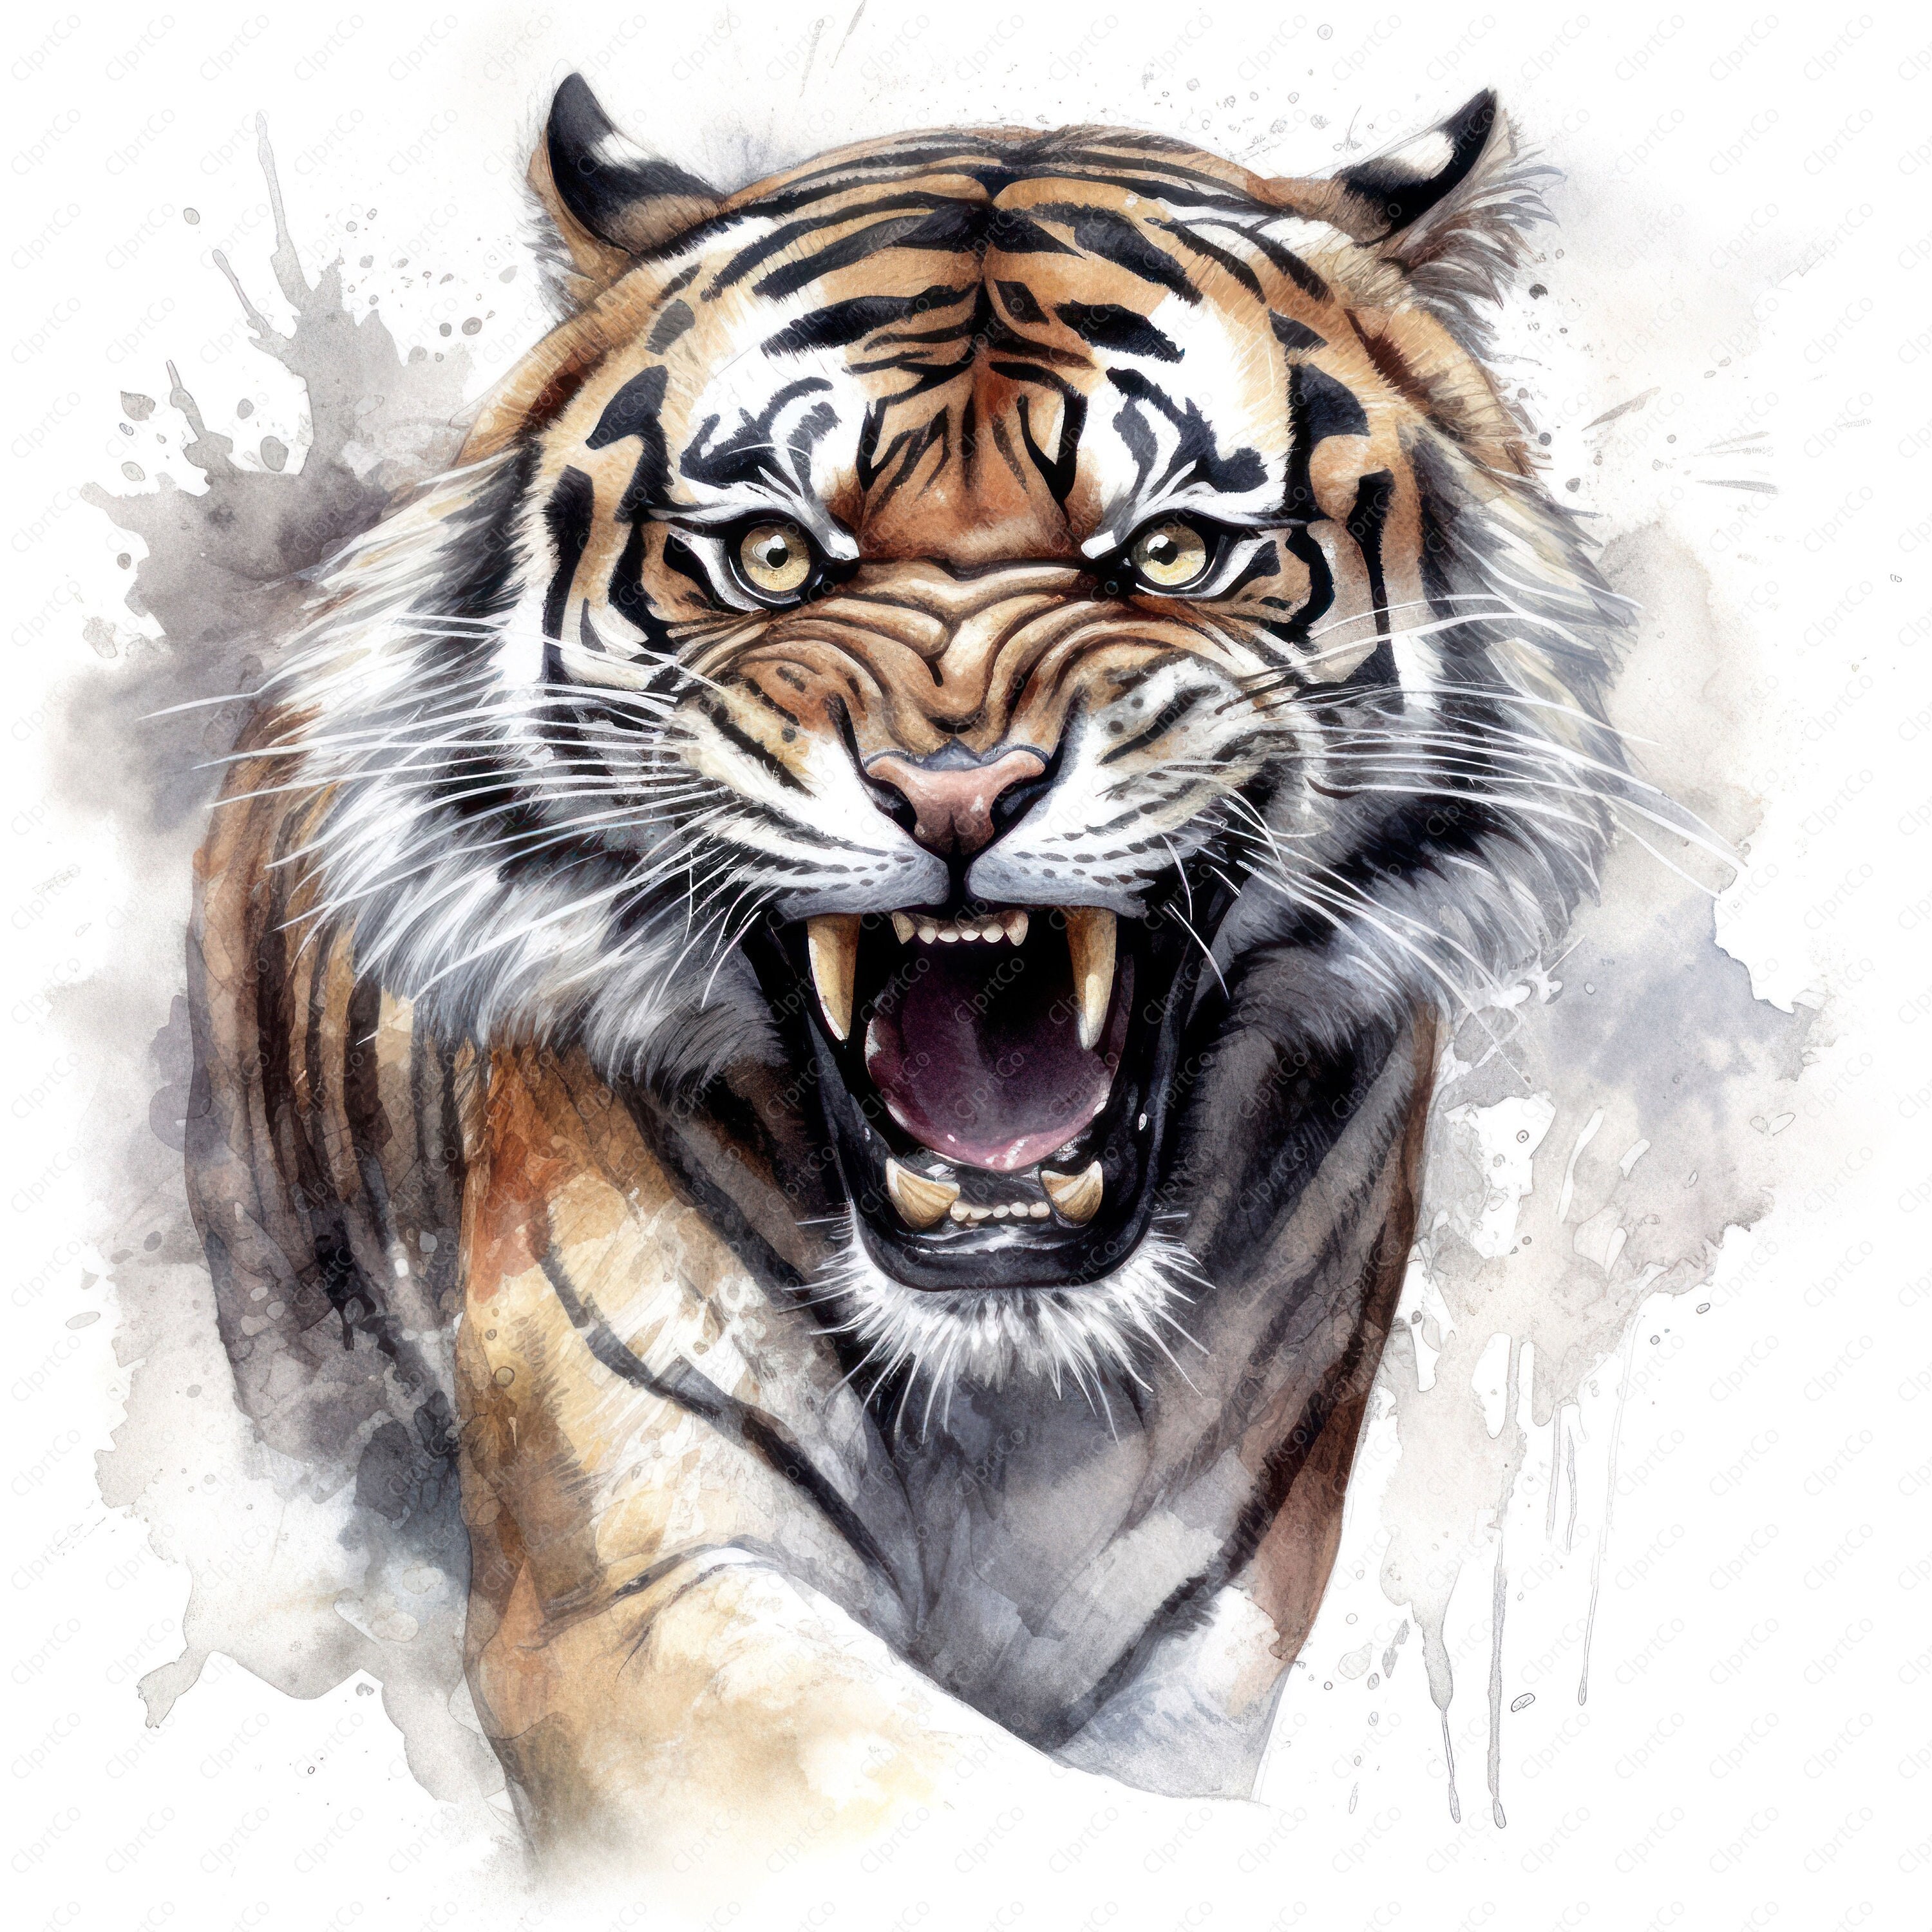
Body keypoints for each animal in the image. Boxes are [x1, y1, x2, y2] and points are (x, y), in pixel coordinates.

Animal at [185, 77, 1627, 1853]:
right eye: (768, 555)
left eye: (1170, 551)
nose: (955, 792)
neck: (1000, 1391)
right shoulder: (636, 1592)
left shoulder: (1196, 1641)